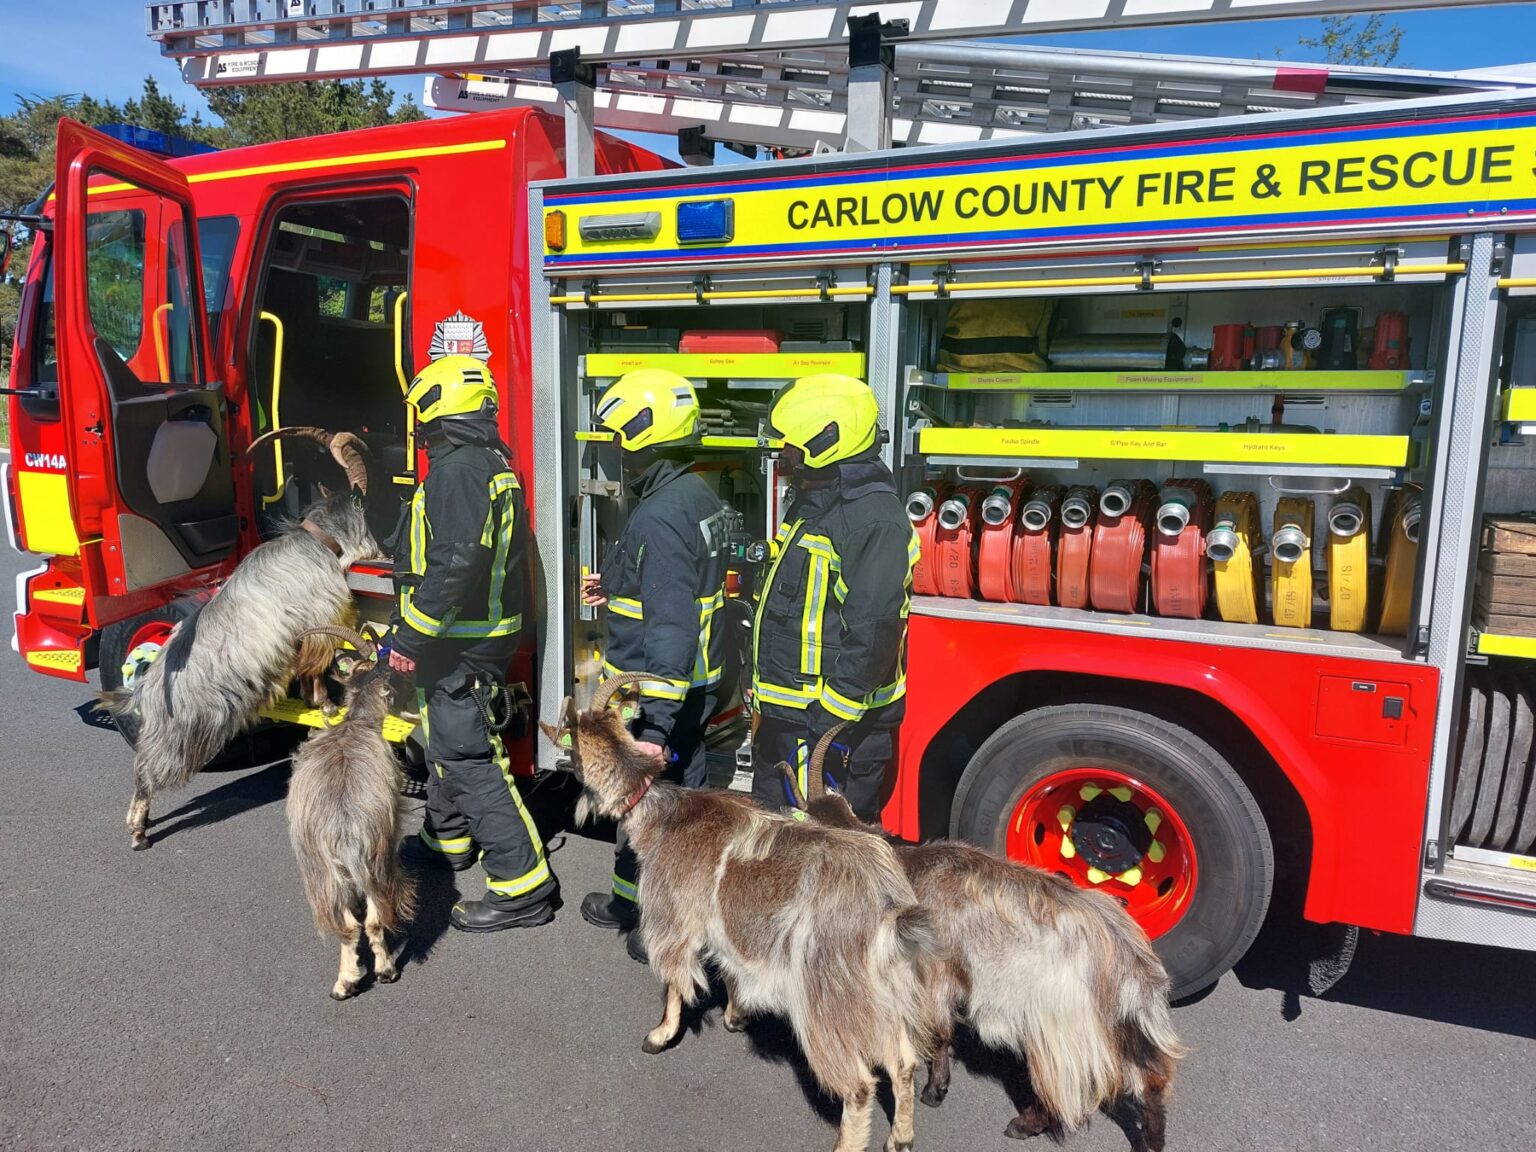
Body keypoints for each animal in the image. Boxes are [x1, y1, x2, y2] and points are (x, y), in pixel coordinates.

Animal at [100, 427, 378, 850]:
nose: (379, 550)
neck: (316, 542)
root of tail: (143, 688)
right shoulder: (319, 618)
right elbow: (315, 667)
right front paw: (327, 705)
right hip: (180, 734)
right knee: (147, 769)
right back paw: (138, 831)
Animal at [286, 626, 416, 1000]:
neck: (355, 723)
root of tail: (344, 832)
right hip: (373, 856)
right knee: (369, 920)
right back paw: (381, 972)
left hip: (322, 869)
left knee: (350, 925)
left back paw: (348, 981)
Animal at [542, 675, 941, 1152]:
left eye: (573, 750)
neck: (661, 813)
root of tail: (887, 904)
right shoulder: (727, 926)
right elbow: (731, 966)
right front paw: (736, 1016)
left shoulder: (673, 918)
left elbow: (675, 980)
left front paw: (659, 1035)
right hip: (883, 988)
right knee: (903, 1060)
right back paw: (900, 1137)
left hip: (828, 993)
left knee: (860, 1084)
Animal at [782, 735, 1185, 1152]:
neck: (901, 867)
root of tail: (1127, 957)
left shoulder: (933, 972)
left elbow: (940, 1033)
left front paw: (934, 1091)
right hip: (1125, 1021)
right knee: (1153, 1075)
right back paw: (1152, 1139)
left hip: (1058, 1020)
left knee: (1065, 1083)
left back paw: (1025, 1124)